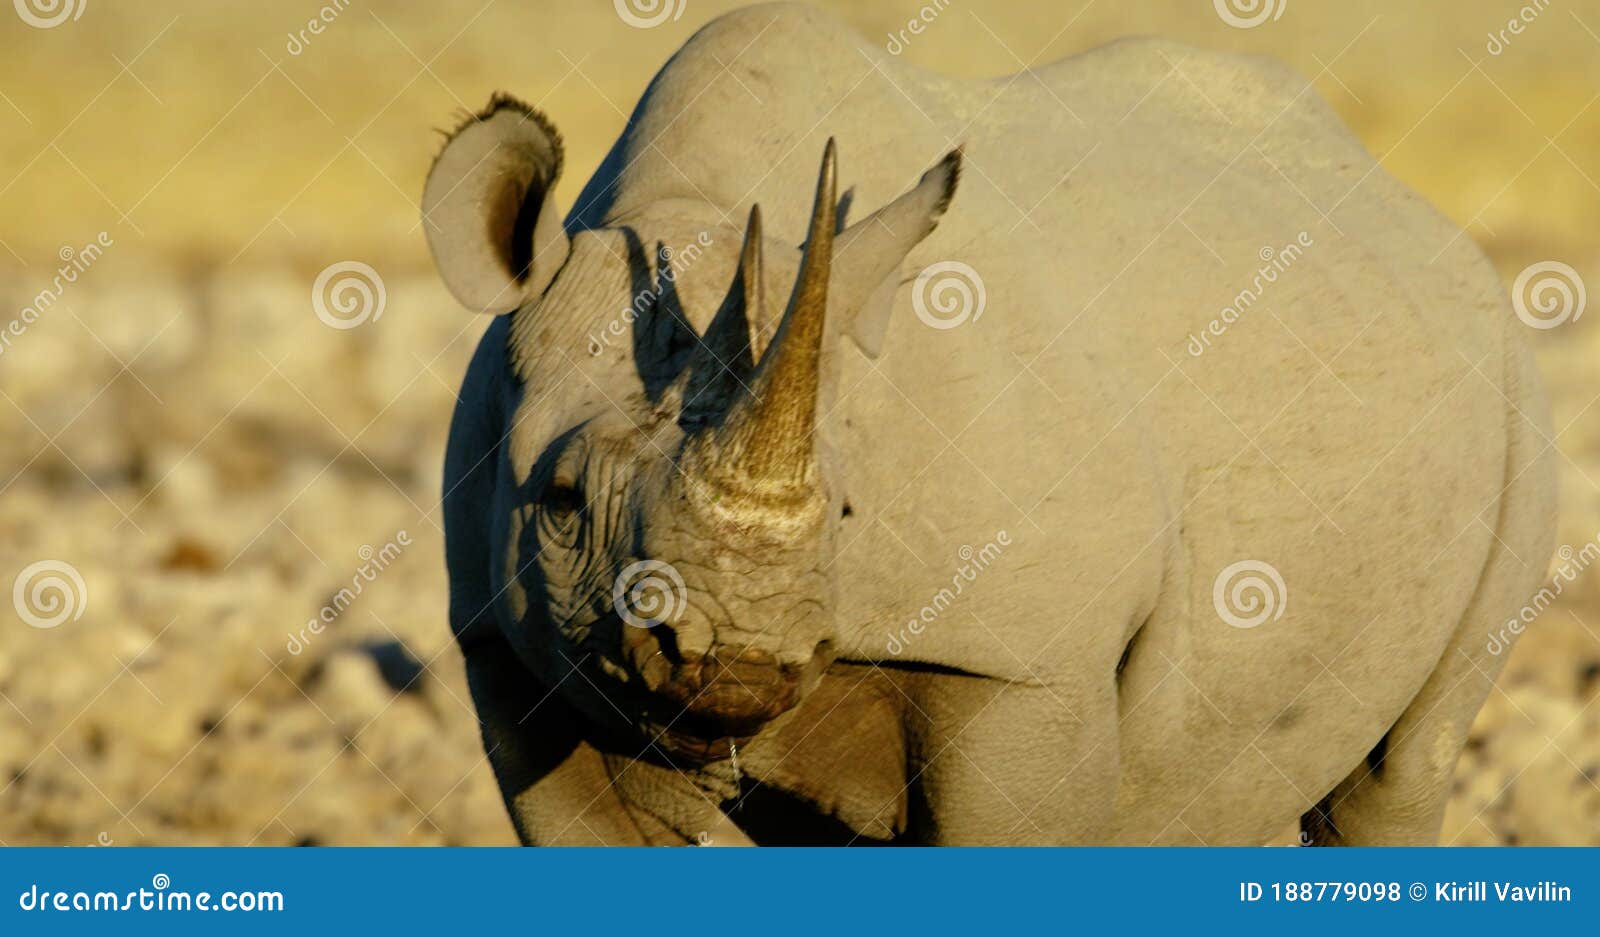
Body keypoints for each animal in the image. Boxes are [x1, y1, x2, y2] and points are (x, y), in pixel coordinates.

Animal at [429, 3, 1556, 845]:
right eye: (559, 501)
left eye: (848, 513)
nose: (737, 659)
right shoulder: (504, 648)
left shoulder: (1018, 662)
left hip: (1512, 389)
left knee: (1397, 774)